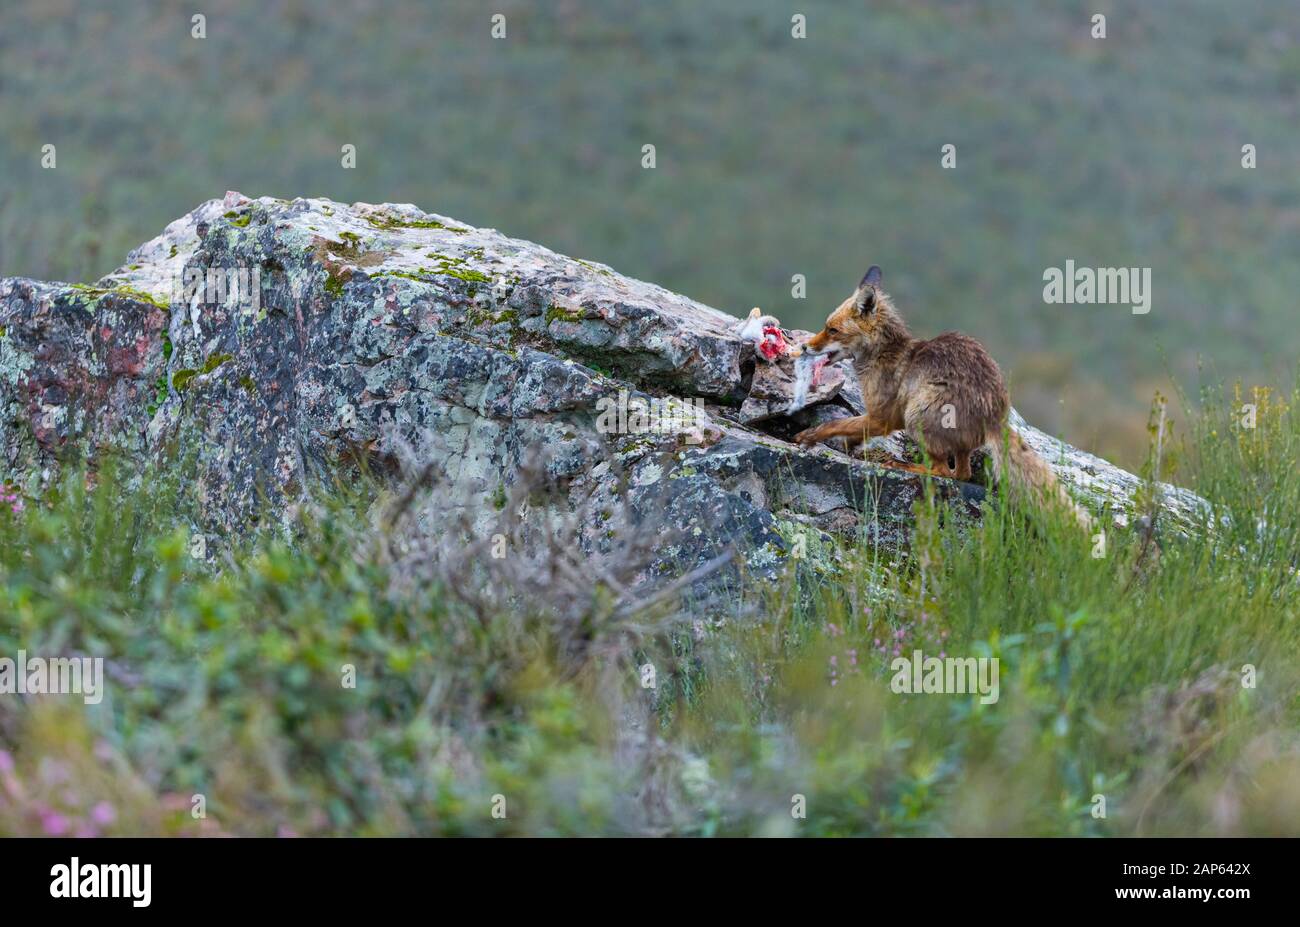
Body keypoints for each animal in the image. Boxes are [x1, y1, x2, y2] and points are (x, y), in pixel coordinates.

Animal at [794, 265, 1092, 530]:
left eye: (832, 330)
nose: (804, 346)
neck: (883, 355)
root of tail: (995, 416)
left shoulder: (884, 418)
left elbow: (836, 424)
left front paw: (809, 436)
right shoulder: (877, 419)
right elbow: (852, 431)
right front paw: (847, 445)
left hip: (917, 416)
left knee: (944, 472)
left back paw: (905, 466)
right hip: (950, 439)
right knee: (963, 473)